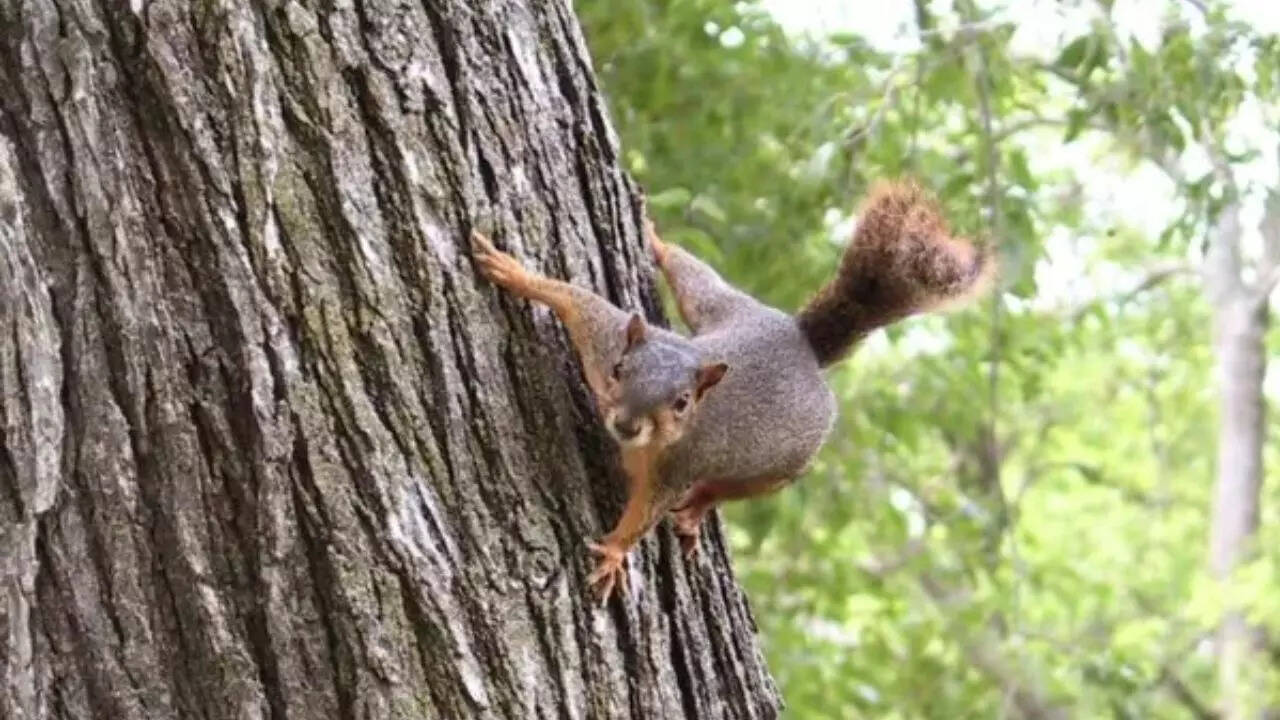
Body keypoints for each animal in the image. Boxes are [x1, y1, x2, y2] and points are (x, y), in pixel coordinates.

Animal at [471, 180, 993, 602]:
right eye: (620, 369)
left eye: (681, 403)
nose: (626, 424)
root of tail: (802, 343)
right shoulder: (606, 337)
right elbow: (574, 300)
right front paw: (512, 271)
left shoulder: (678, 468)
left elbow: (644, 515)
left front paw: (615, 552)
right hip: (718, 304)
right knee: (693, 275)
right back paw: (656, 241)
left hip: (785, 463)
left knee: (729, 489)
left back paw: (698, 509)